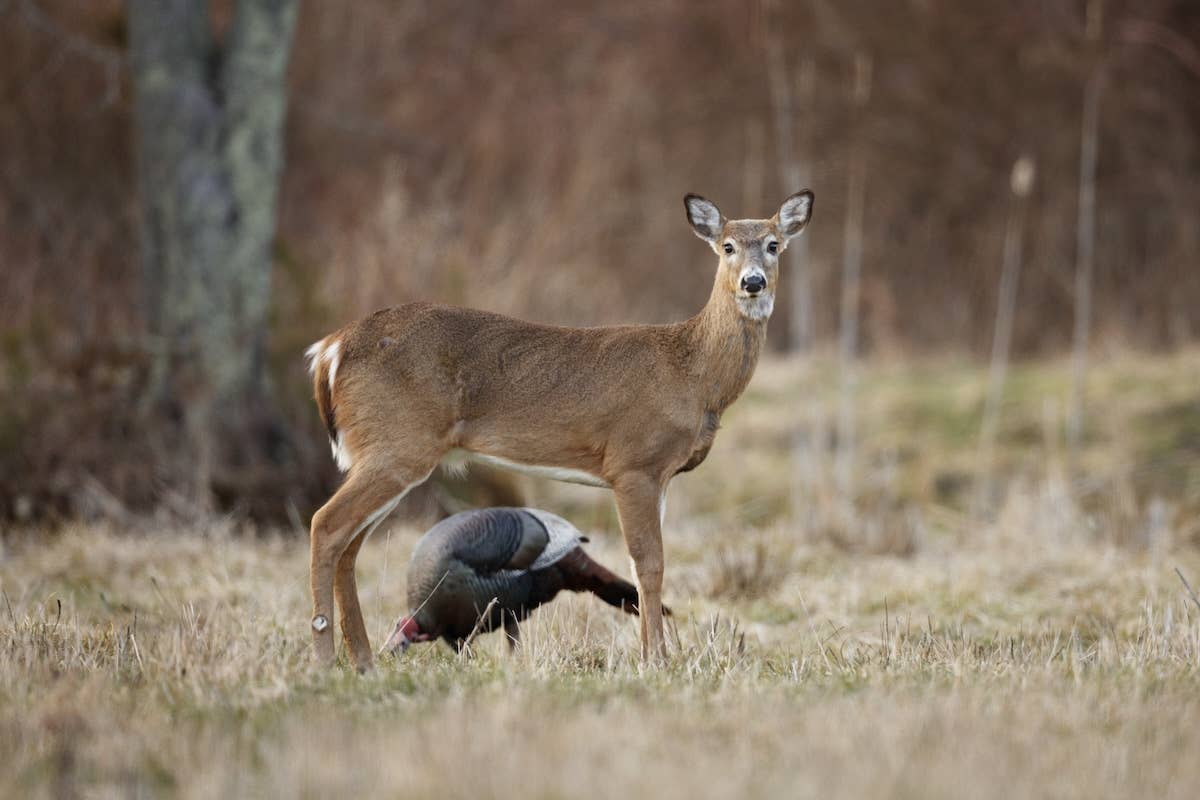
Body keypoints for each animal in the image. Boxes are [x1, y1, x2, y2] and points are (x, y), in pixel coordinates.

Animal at [304, 190, 814, 671]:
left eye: (773, 244)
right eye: (727, 246)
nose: (753, 281)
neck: (692, 372)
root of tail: (330, 349)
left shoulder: (660, 475)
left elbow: (640, 565)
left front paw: (652, 654)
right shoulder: (633, 462)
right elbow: (650, 563)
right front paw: (656, 661)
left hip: (386, 450)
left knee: (349, 546)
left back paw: (363, 661)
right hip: (397, 444)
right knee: (325, 525)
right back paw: (326, 660)